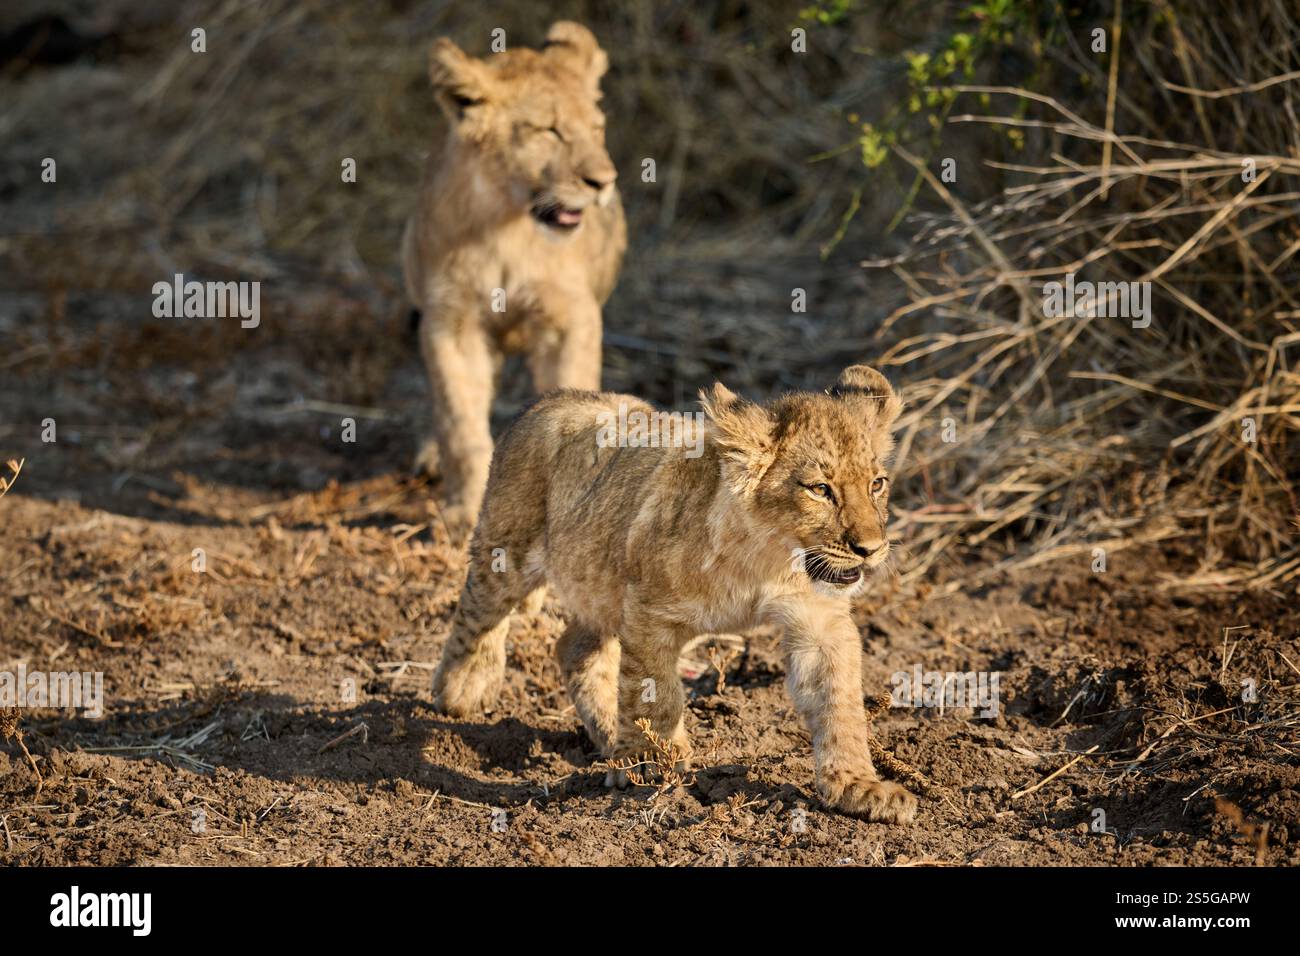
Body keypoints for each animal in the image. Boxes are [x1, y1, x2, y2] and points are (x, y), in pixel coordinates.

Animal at [402, 21, 626, 534]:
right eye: (549, 130)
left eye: (597, 129)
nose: (604, 181)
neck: (506, 228)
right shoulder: (450, 322)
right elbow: (459, 418)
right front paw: (464, 511)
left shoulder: (570, 319)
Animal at [430, 366, 918, 824]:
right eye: (820, 489)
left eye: (877, 484)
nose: (871, 548)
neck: (767, 558)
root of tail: (553, 398)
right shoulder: (650, 614)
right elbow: (654, 693)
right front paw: (649, 763)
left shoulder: (819, 620)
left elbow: (840, 704)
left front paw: (857, 786)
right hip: (508, 551)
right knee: (479, 612)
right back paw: (462, 688)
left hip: (598, 581)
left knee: (574, 649)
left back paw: (609, 735)